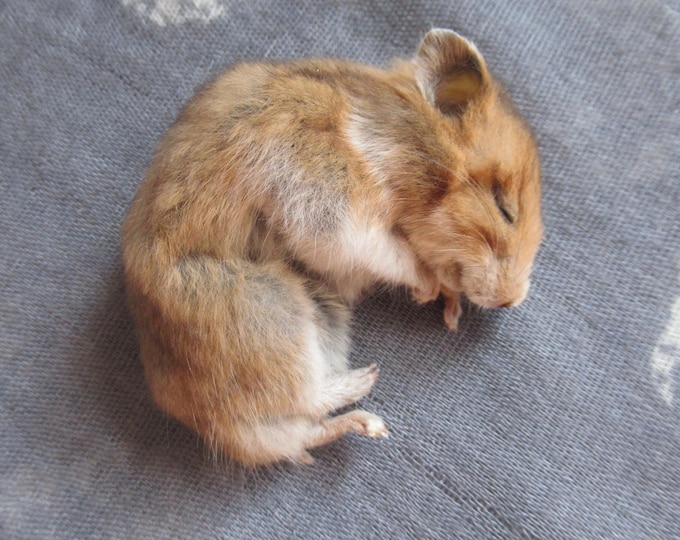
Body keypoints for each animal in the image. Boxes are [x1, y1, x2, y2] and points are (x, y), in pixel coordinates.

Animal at [121, 29, 542, 466]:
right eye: (504, 208)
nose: (512, 299)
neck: (393, 142)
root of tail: (212, 424)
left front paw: (449, 311)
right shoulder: (331, 208)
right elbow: (395, 254)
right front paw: (427, 291)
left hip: (322, 316)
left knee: (301, 431)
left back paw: (369, 420)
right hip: (271, 311)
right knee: (301, 402)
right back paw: (368, 383)